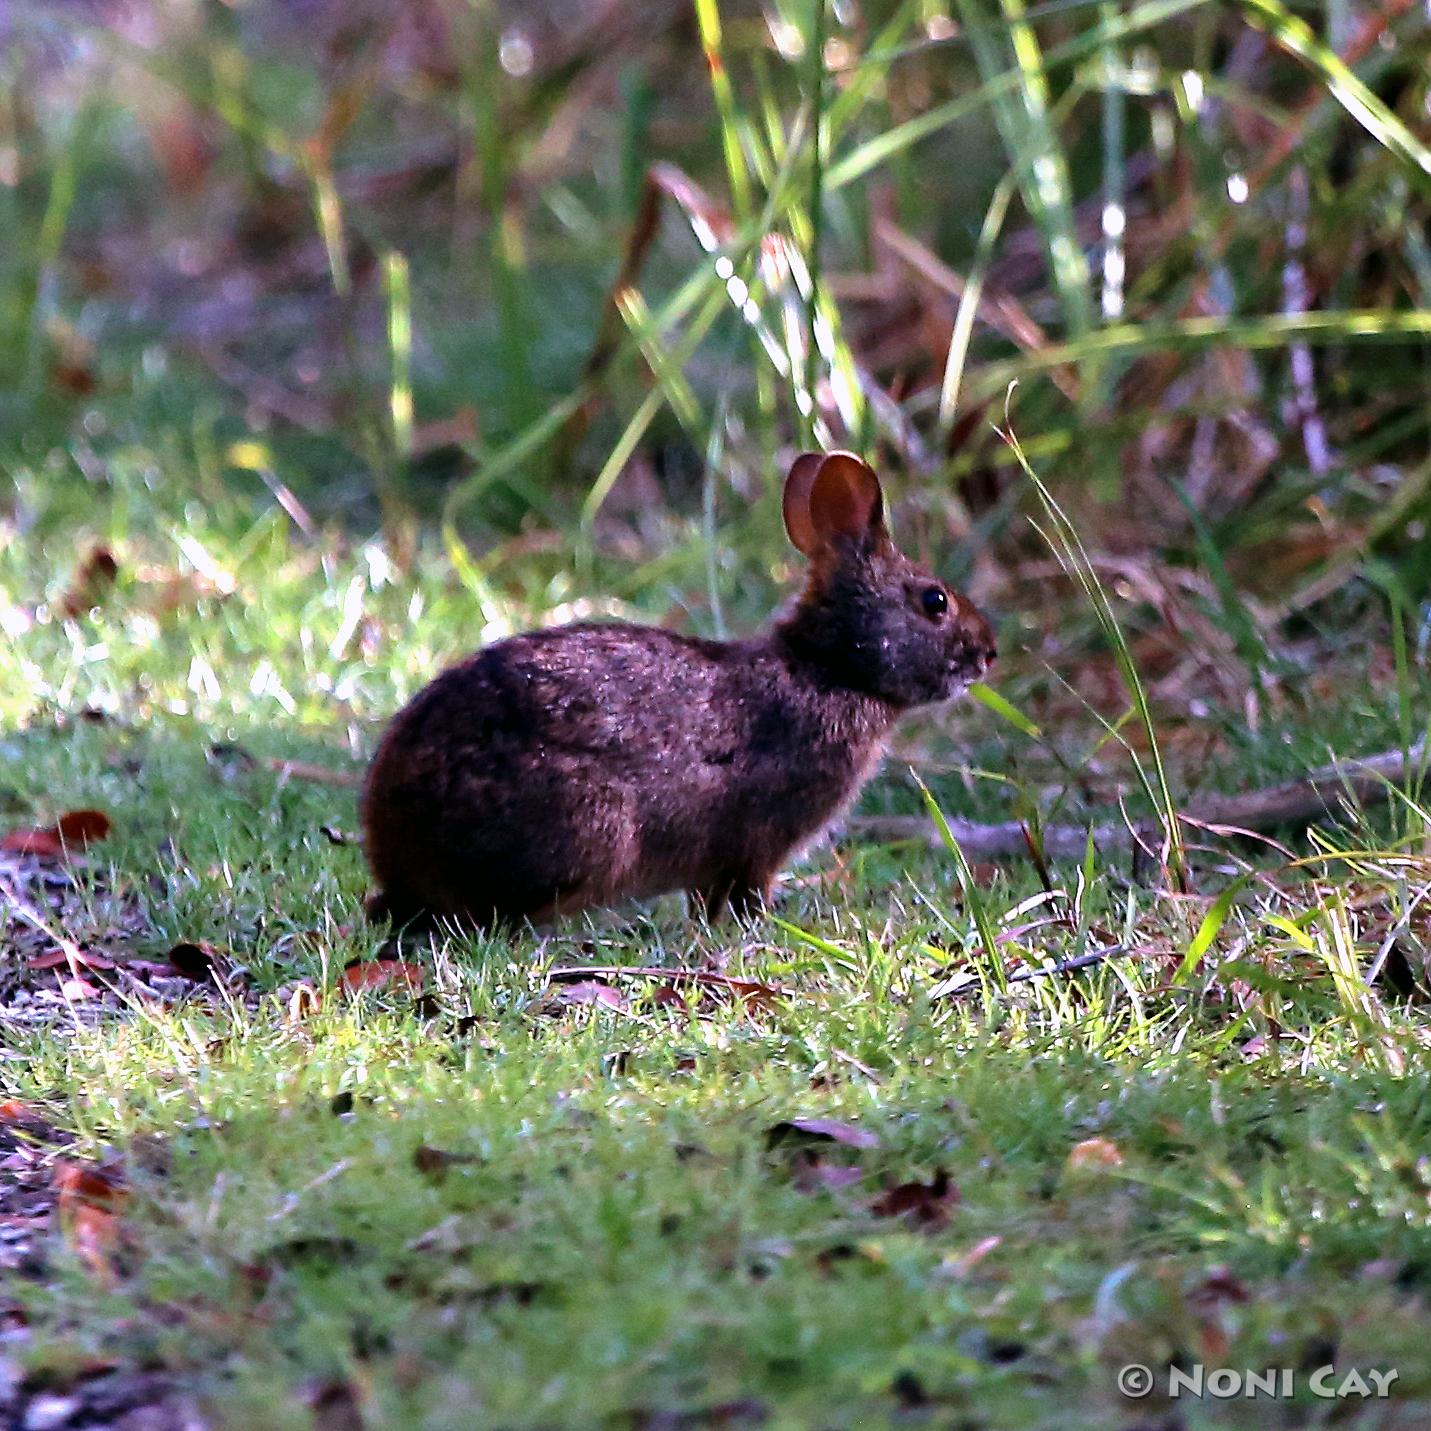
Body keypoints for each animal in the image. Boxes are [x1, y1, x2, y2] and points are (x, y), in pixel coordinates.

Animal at [361, 450, 996, 931]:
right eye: (934, 601)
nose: (988, 653)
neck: (832, 668)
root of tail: (398, 846)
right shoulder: (758, 842)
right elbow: (743, 891)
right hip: (591, 827)